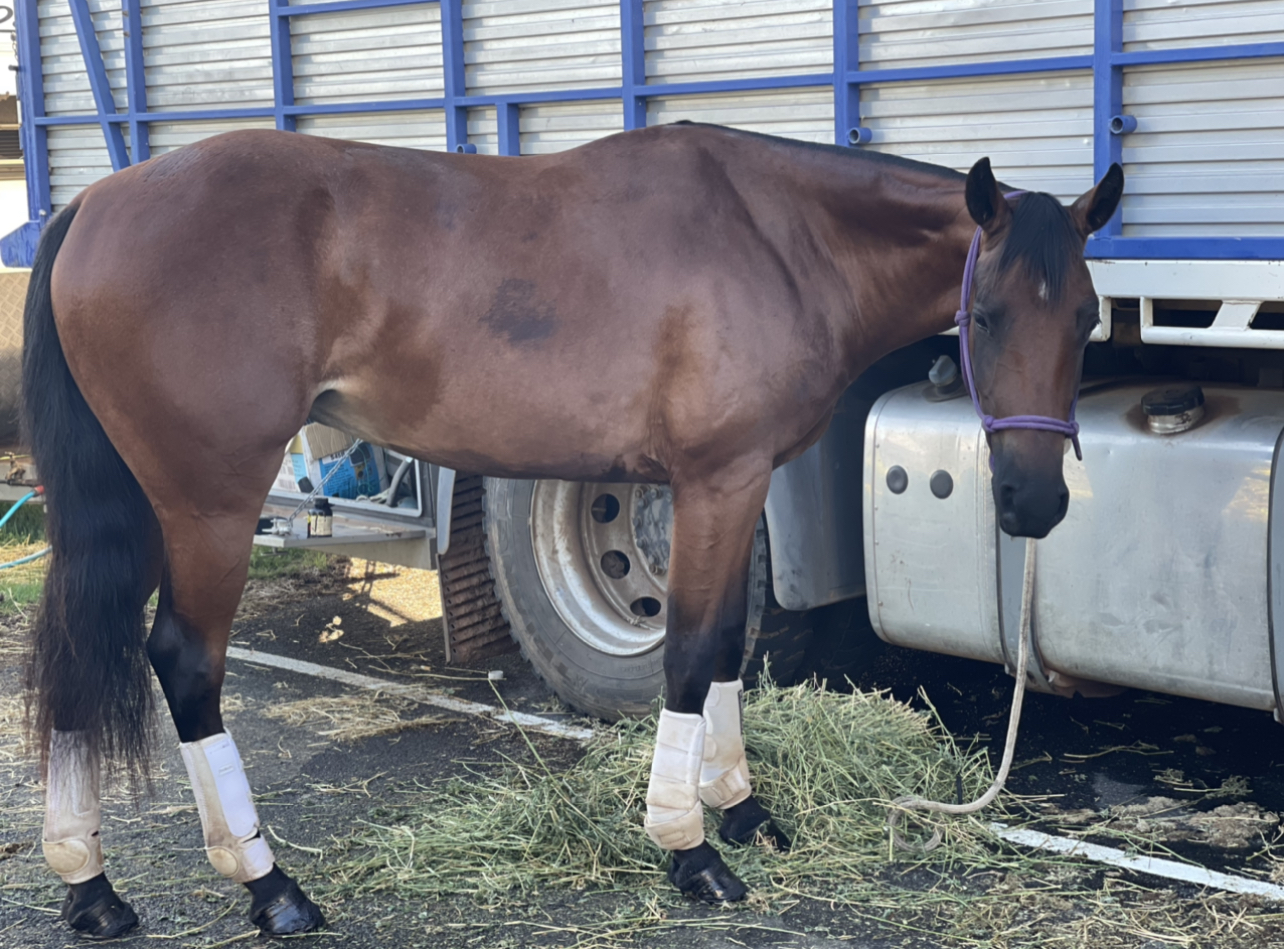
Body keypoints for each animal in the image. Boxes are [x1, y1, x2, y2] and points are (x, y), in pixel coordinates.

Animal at [21, 122, 1122, 937]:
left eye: (1086, 320)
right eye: (986, 317)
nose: (1034, 503)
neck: (776, 237)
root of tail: (97, 204)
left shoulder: (740, 484)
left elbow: (727, 648)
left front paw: (744, 809)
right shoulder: (715, 482)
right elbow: (693, 651)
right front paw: (690, 846)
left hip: (131, 504)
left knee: (81, 647)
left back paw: (90, 885)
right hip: (208, 505)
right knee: (184, 662)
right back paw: (269, 885)